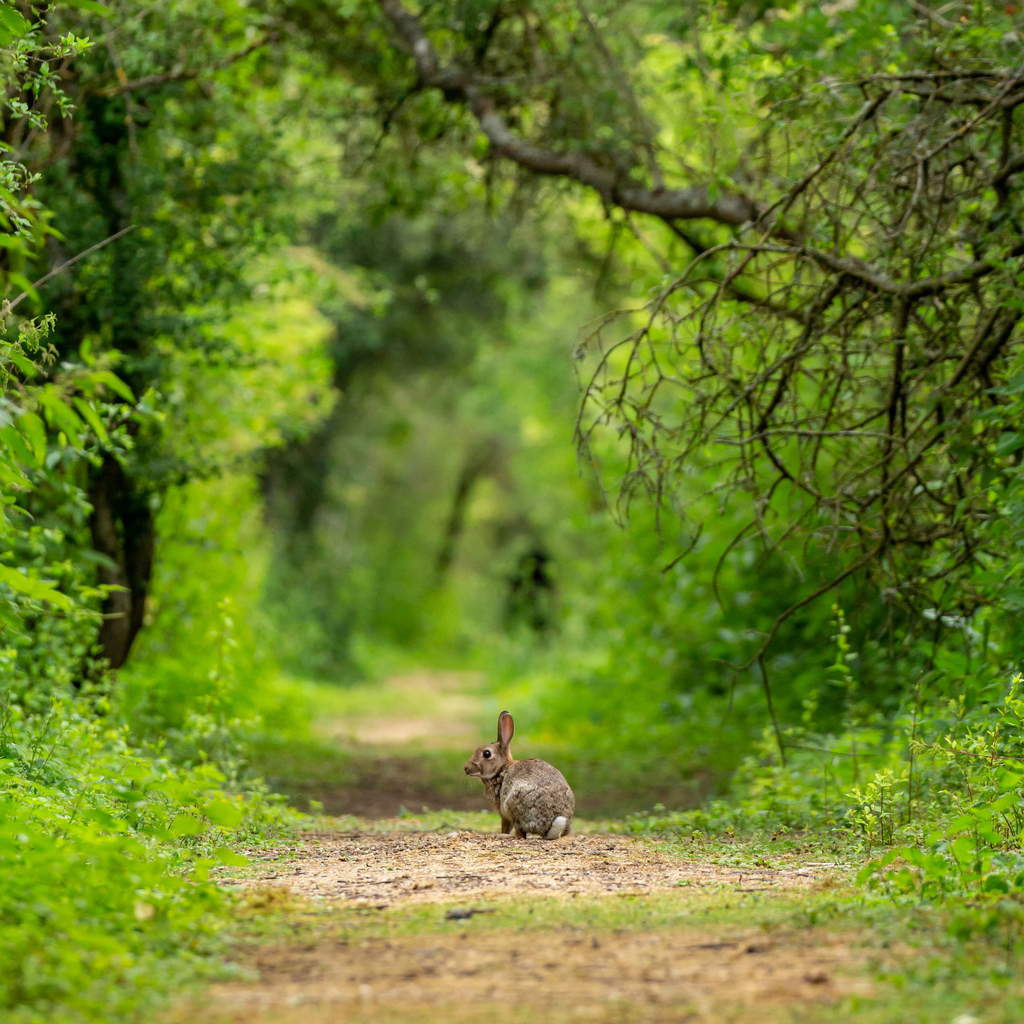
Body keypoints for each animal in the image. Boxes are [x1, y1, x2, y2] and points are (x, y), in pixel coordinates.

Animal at [464, 710, 574, 839]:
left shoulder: (502, 811)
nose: (466, 768)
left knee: (520, 834)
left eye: (486, 753)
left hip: (512, 804)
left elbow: (506, 826)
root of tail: (549, 827)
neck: (501, 768)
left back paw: (502, 836)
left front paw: (502, 832)